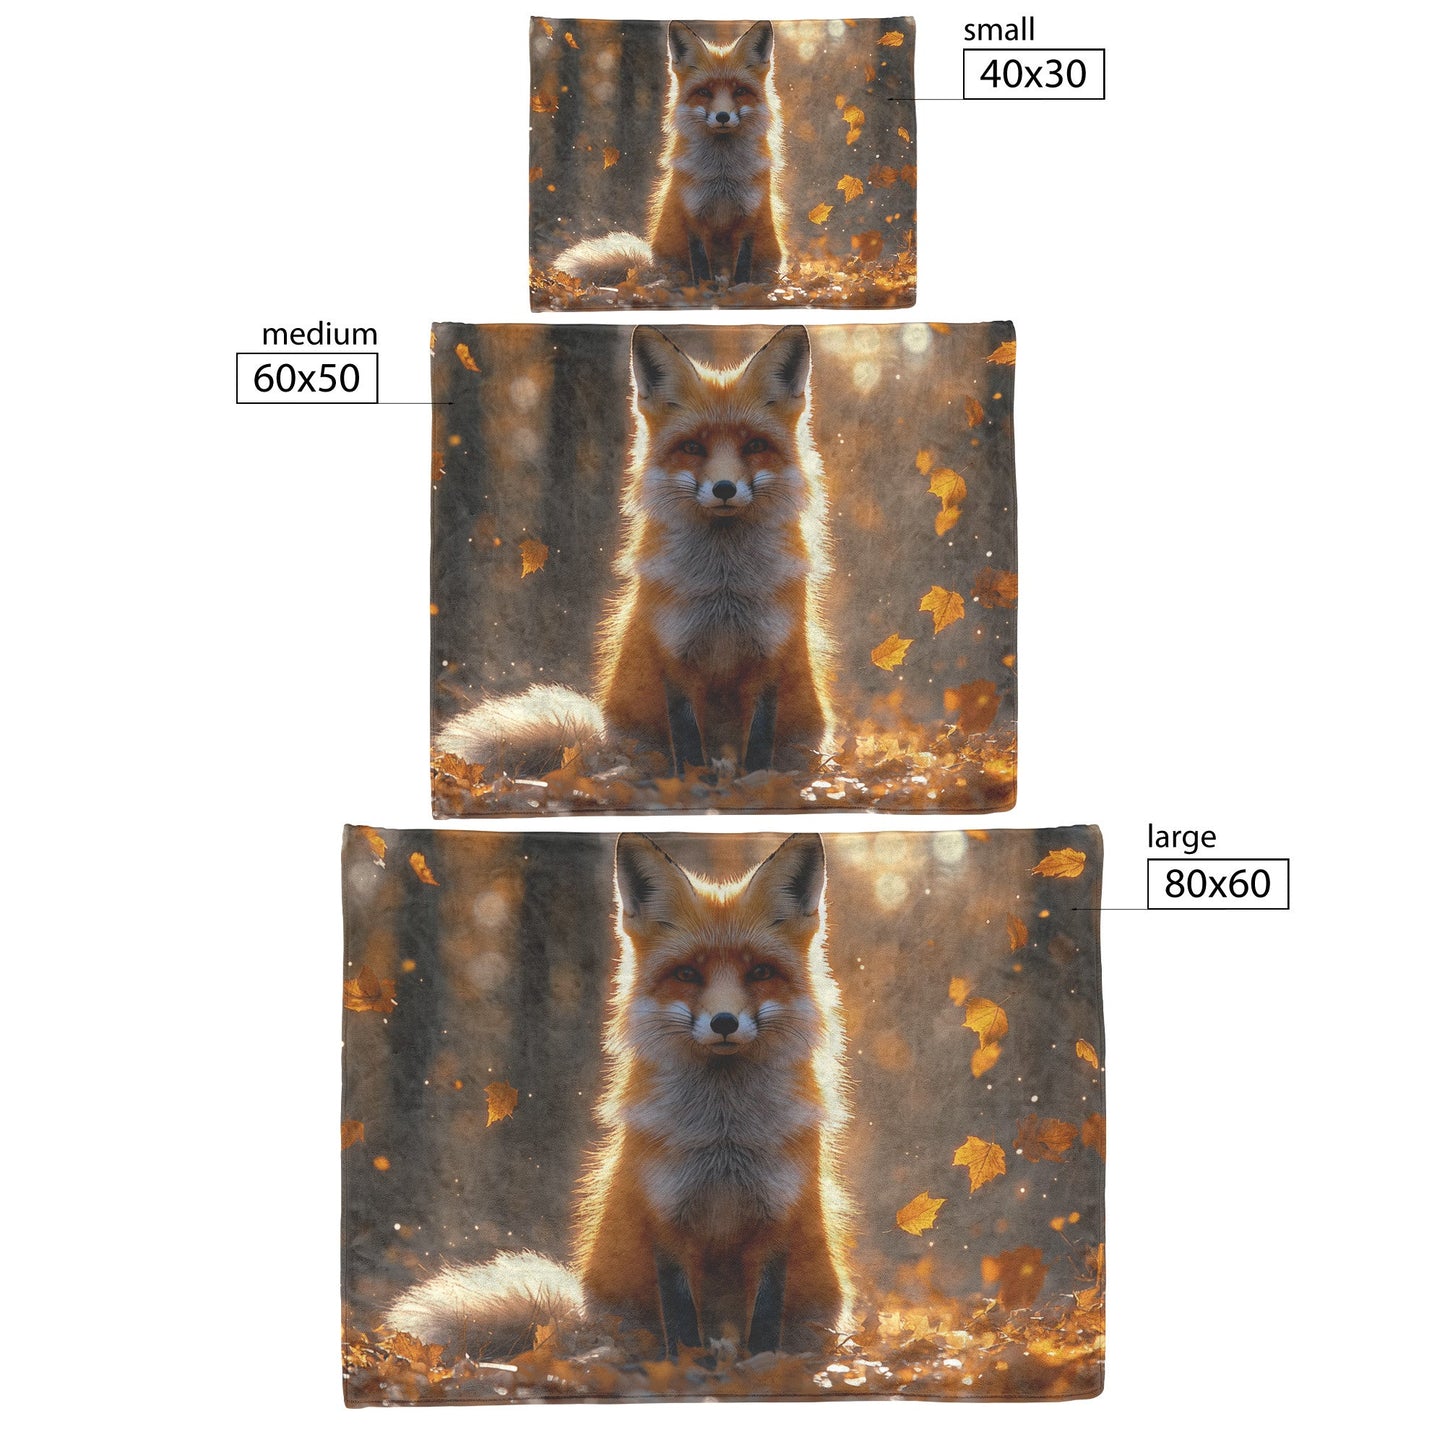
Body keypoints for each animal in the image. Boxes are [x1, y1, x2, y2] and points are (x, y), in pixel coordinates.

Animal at [383, 833, 855, 1359]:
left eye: (759, 972)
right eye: (687, 974)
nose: (724, 1022)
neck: (723, 1136)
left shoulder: (778, 1218)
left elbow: (766, 1319)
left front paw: (766, 1365)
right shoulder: (665, 1218)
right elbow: (680, 1316)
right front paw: (683, 1364)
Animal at [435, 324, 833, 777]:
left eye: (753, 446)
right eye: (692, 447)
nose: (724, 488)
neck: (723, 586)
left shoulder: (771, 656)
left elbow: (760, 742)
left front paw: (761, 782)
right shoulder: (673, 657)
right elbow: (686, 739)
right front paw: (689, 781)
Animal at [551, 20, 788, 287]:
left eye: (739, 91)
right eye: (704, 92)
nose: (722, 116)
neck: (722, 174)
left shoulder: (749, 215)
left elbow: (743, 264)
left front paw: (743, 288)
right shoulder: (692, 214)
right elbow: (700, 263)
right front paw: (702, 289)